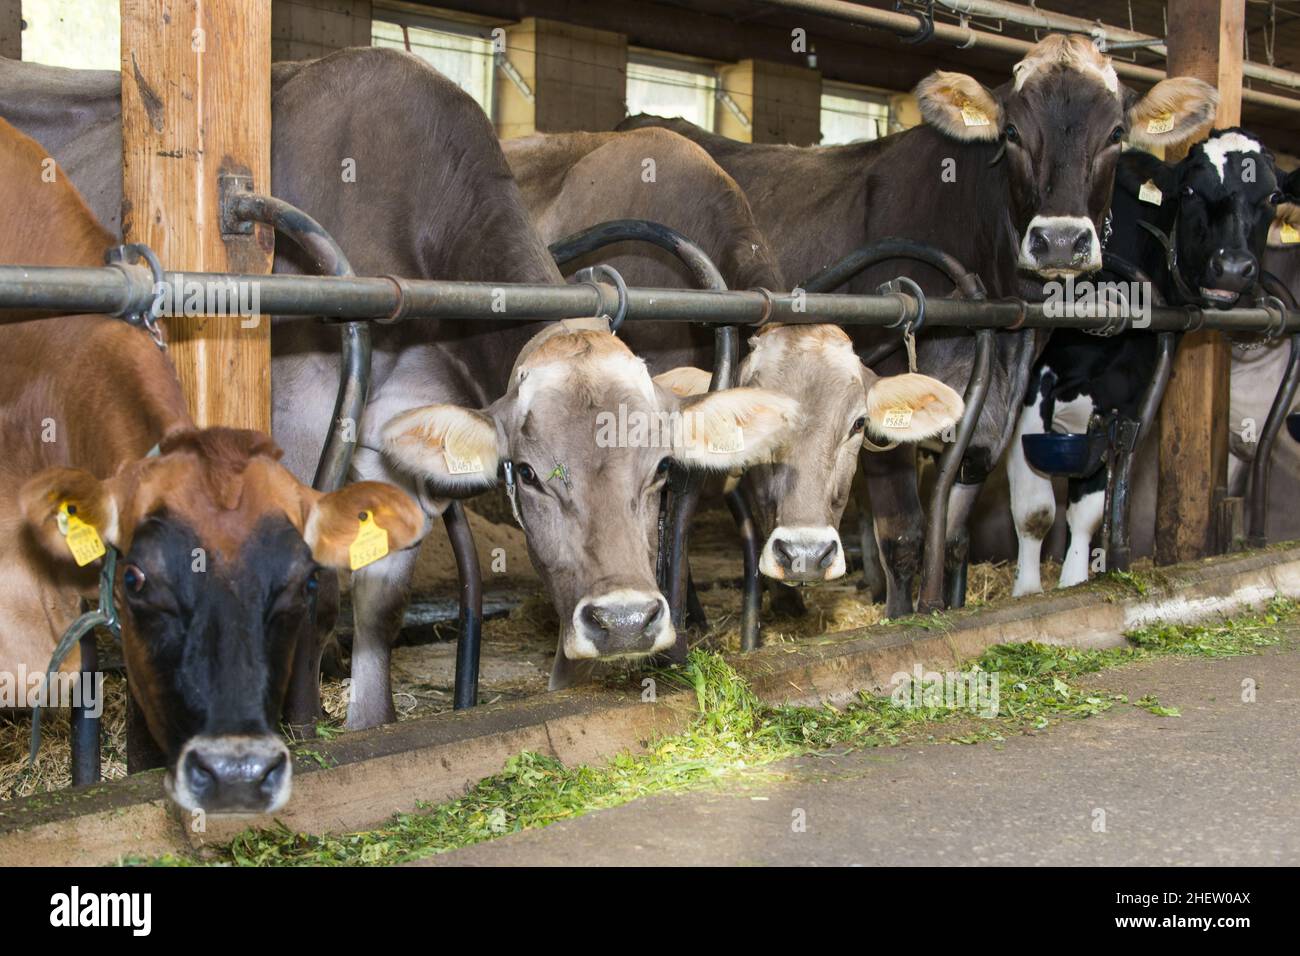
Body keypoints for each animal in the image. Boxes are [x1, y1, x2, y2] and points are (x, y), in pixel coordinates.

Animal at [621, 34, 1218, 616]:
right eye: (1012, 132)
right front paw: (900, 619)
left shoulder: (985, 423)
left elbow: (951, 538)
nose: (1060, 240)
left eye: (1116, 133)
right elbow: (905, 537)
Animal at [1008, 129, 1300, 595]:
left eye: (1272, 196)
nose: (1232, 268)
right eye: (1190, 190)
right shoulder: (1033, 383)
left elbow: (1087, 510)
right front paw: (1027, 593)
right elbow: (1035, 510)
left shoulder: (1123, 395)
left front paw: (1074, 583)